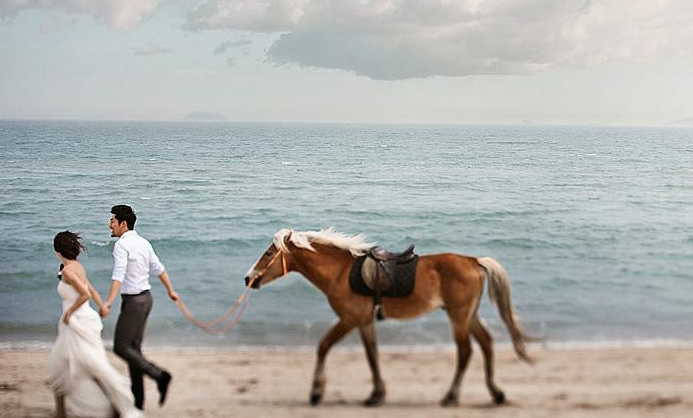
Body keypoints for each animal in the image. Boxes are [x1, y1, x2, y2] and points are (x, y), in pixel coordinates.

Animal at [243, 227, 528, 406]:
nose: (248, 278)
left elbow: (323, 346)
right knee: (487, 344)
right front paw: (376, 395)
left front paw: (316, 393)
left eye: (268, 253)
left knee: (466, 352)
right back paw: (496, 394)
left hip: (459, 317)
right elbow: (372, 355)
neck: (341, 272)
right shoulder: (364, 322)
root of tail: (474, 261)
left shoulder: (350, 319)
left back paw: (451, 396)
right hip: (468, 315)